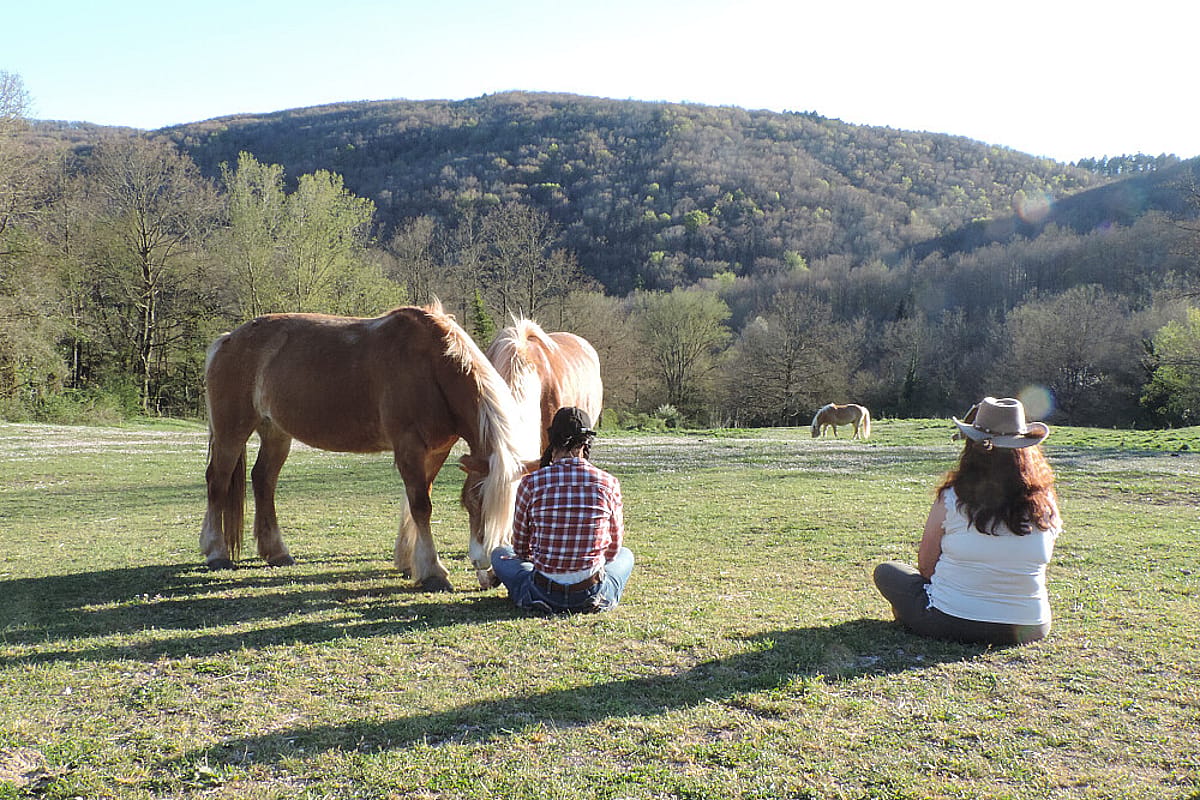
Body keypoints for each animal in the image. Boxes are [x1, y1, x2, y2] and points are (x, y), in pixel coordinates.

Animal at [200, 302, 536, 592]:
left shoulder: (436, 452)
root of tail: (227, 340)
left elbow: (417, 503)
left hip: (276, 434)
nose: (491, 573)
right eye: (472, 503)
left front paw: (411, 563)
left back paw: (276, 553)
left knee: (263, 481)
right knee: (218, 481)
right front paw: (433, 572)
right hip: (232, 432)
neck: (432, 365)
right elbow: (420, 506)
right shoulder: (409, 448)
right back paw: (216, 553)